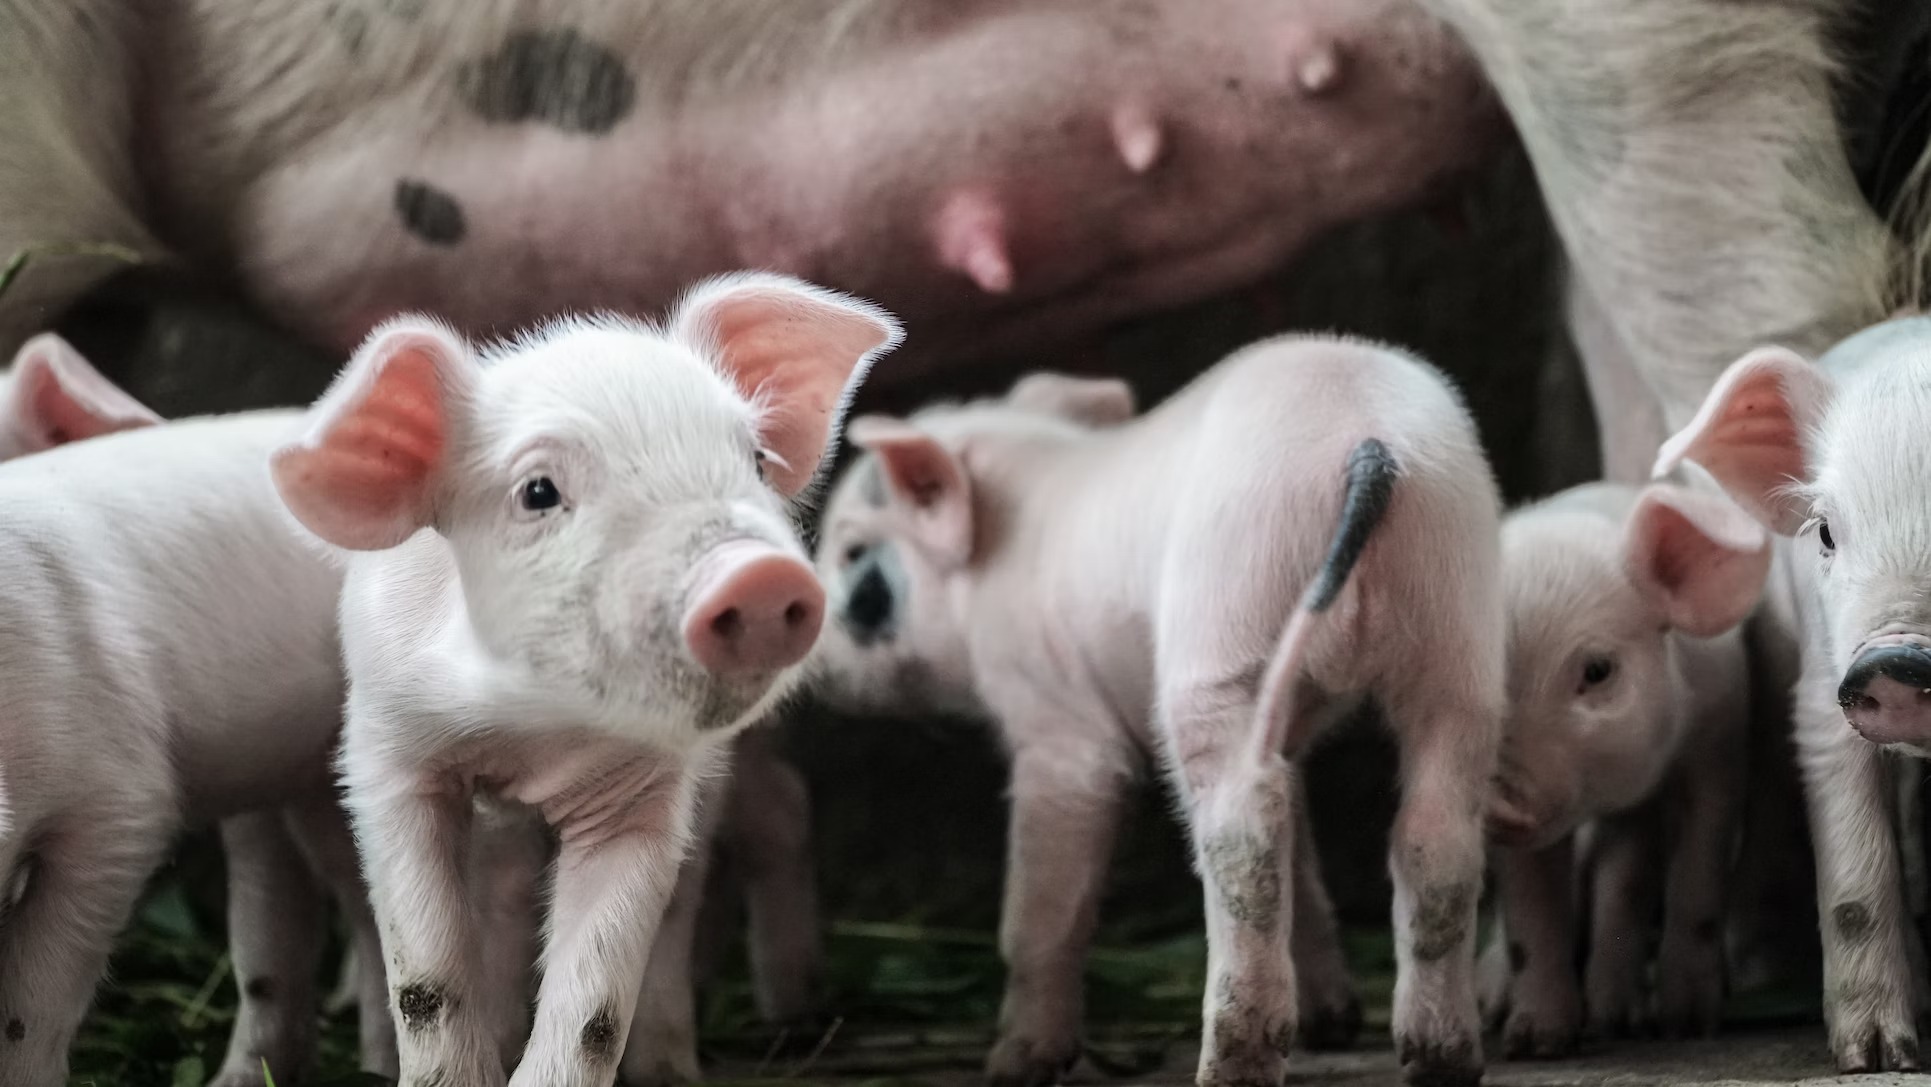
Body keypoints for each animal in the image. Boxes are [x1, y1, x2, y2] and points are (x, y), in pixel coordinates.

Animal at [267, 272, 898, 1087]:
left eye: (756, 461)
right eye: (538, 491)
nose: (757, 574)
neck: (531, 733)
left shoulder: (644, 796)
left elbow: (596, 1009)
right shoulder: (388, 757)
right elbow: (426, 981)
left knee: (763, 824)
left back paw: (753, 1033)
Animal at [809, 342, 1506, 1087]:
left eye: (853, 555)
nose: (809, 662)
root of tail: (1368, 443)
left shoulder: (1057, 722)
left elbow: (1043, 905)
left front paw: (1014, 1066)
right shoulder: (1287, 732)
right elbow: (1304, 859)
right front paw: (1333, 1025)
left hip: (1224, 630)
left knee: (1244, 838)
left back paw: (1228, 1069)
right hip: (1456, 623)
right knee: (1432, 835)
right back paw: (1440, 1062)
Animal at [1476, 482, 1768, 1056]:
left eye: (1597, 669)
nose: (1499, 798)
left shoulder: (1719, 741)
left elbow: (1693, 873)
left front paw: (1684, 1026)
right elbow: (1531, 911)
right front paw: (1537, 1044)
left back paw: (1621, 1020)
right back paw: (1491, 1005)